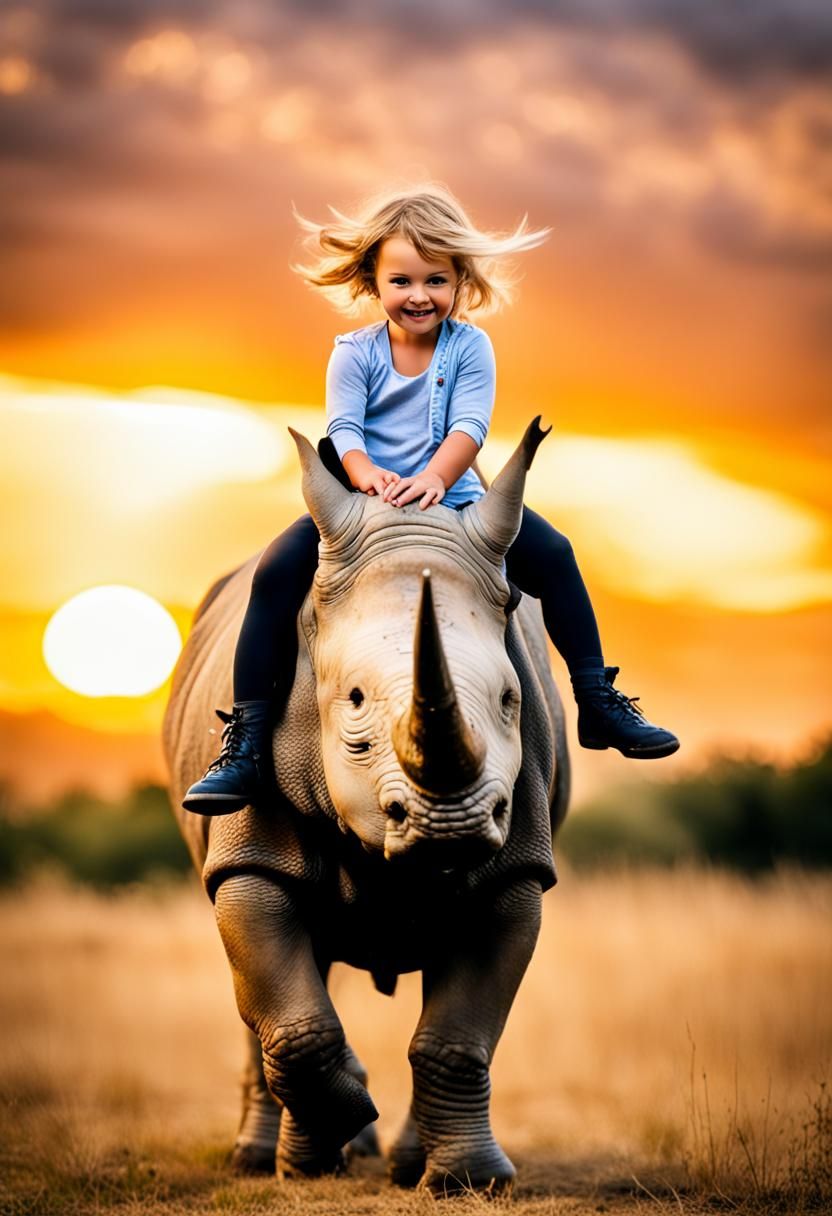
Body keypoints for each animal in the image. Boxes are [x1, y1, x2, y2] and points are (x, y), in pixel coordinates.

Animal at [163, 418, 570, 1194]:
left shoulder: (517, 863)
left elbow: (458, 1035)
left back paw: (406, 1163)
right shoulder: (249, 849)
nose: (453, 824)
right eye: (352, 703)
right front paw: (328, 1140)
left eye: (509, 701)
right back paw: (267, 1158)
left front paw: (471, 1183)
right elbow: (293, 1020)